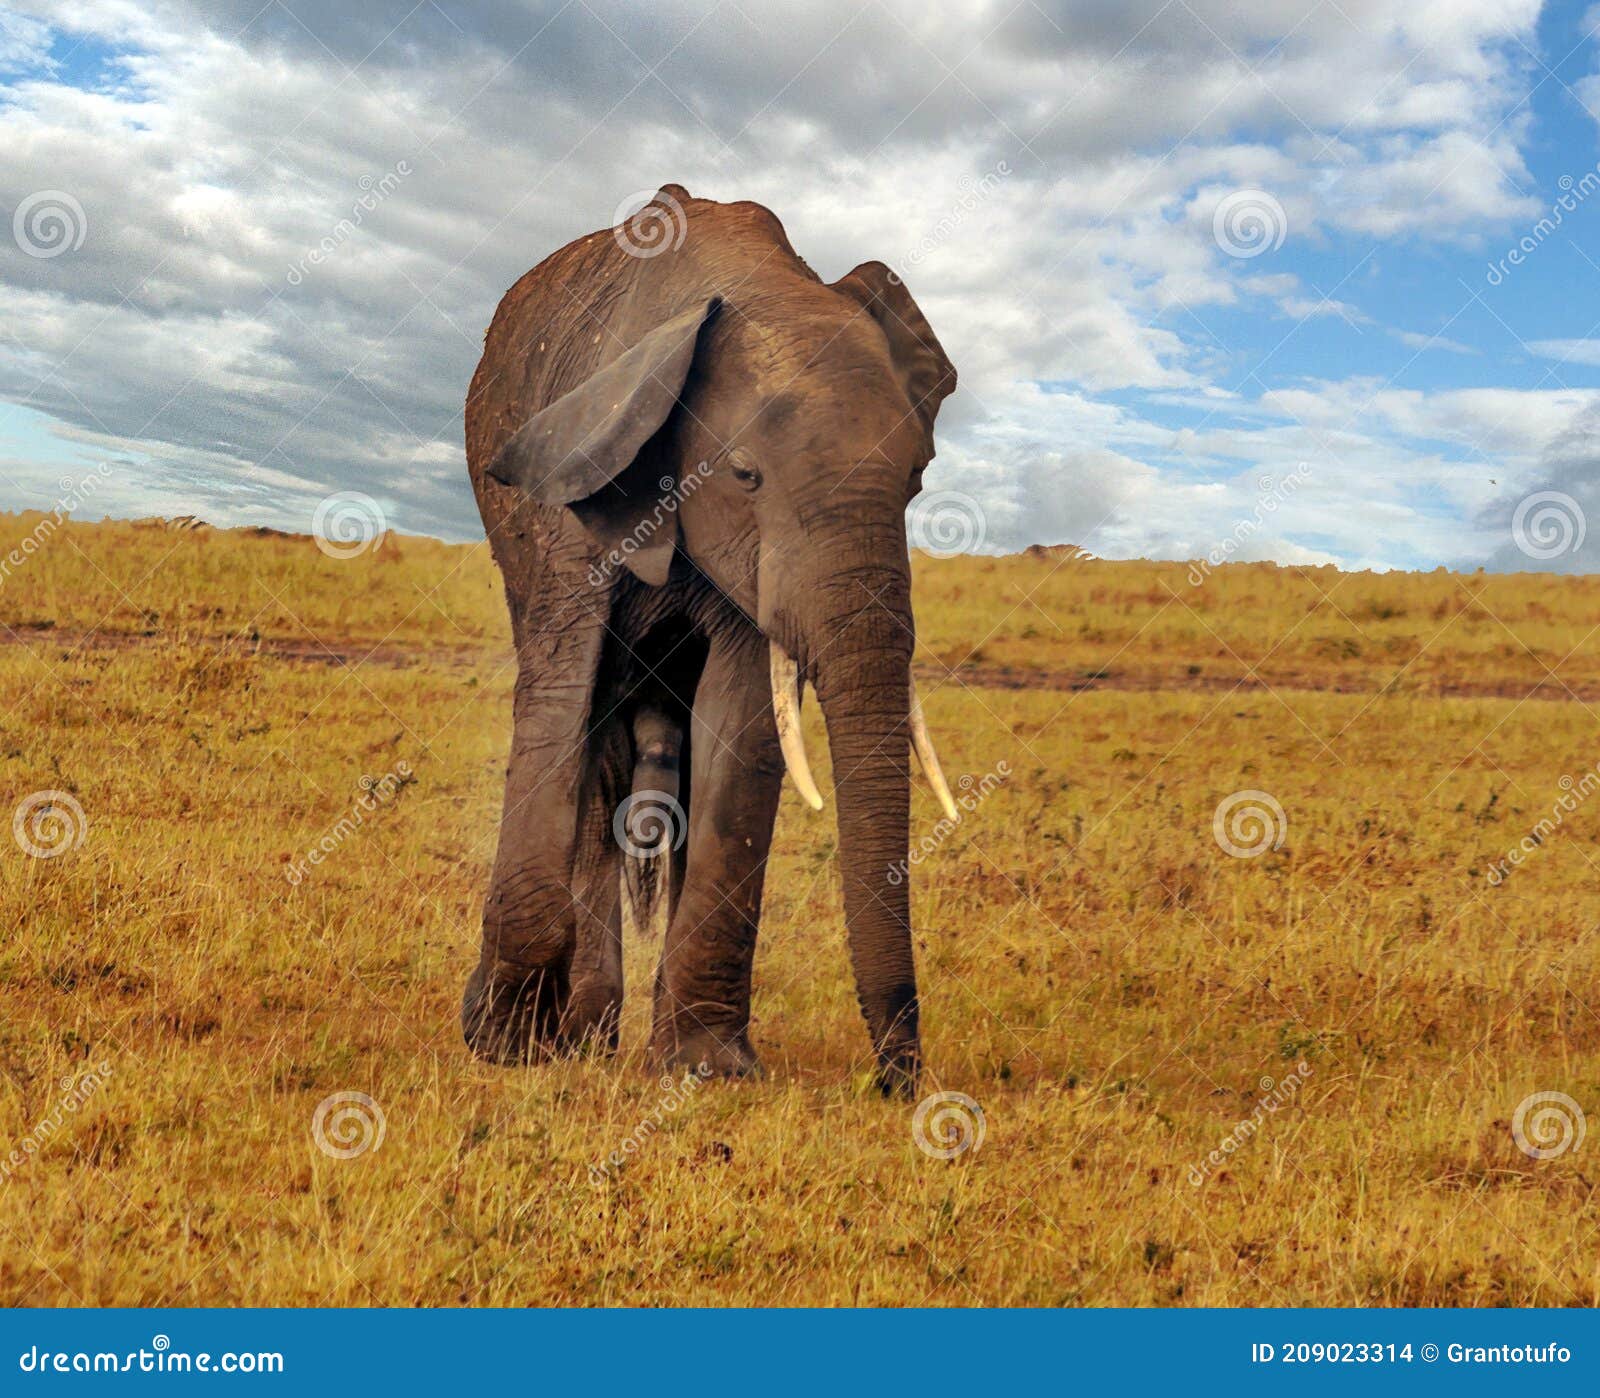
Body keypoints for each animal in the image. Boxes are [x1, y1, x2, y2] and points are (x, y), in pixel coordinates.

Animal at [460, 184, 958, 1095]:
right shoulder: (583, 482)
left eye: (914, 482)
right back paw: (577, 1035)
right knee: (596, 757)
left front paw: (704, 1070)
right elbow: (558, 698)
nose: (899, 1082)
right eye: (745, 474)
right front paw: (502, 1042)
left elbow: (742, 728)